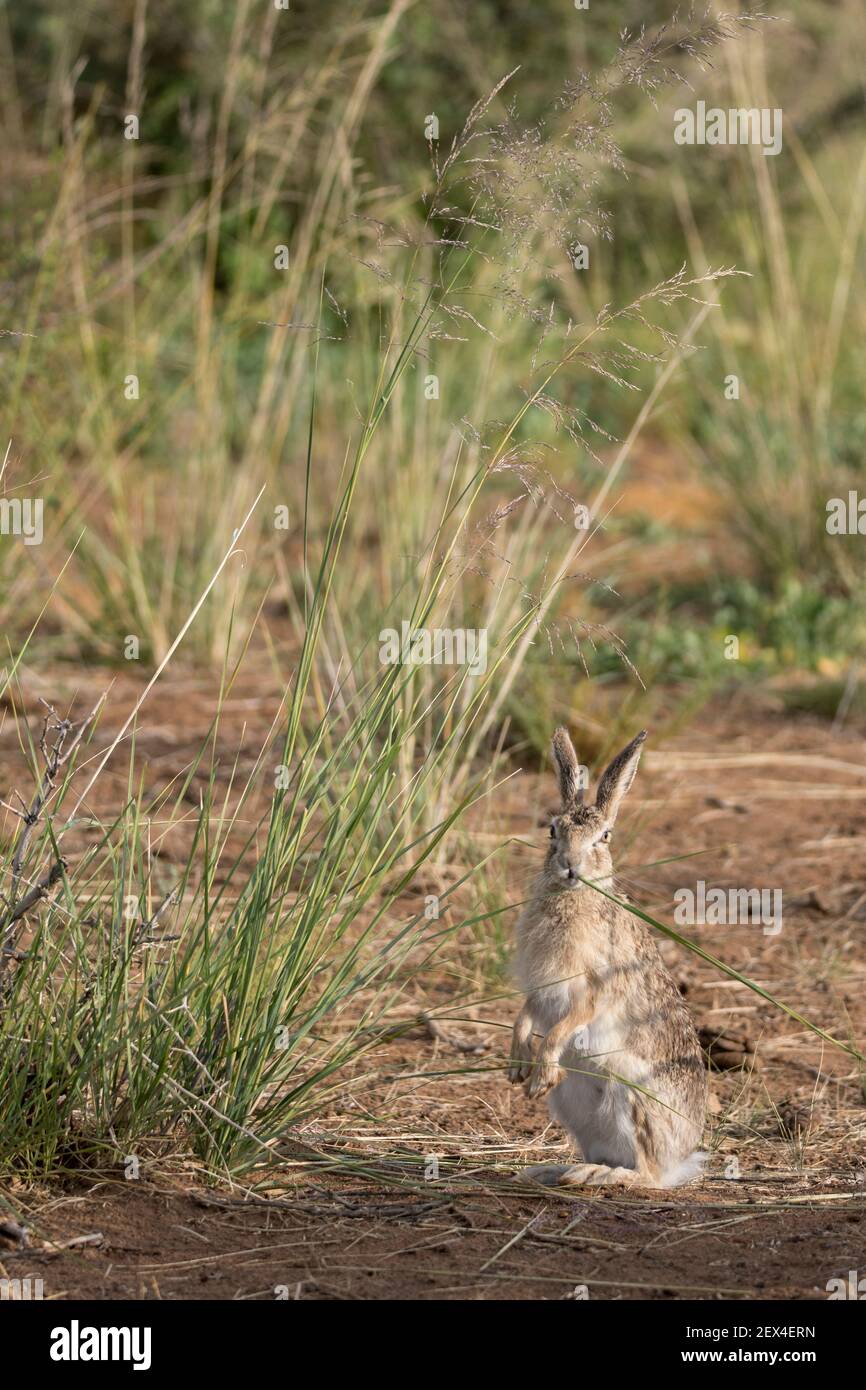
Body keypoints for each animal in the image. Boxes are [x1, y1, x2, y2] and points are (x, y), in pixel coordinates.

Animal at [508, 726, 706, 1189]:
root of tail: (682, 1157)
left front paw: (538, 1070)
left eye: (606, 838)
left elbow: (566, 1025)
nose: (570, 866)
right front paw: (519, 1064)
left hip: (631, 1091)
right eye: (552, 831)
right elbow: (525, 1014)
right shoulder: (540, 988)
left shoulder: (592, 985)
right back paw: (555, 1170)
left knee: (647, 1174)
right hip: (573, 1102)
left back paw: (600, 1175)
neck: (573, 897)